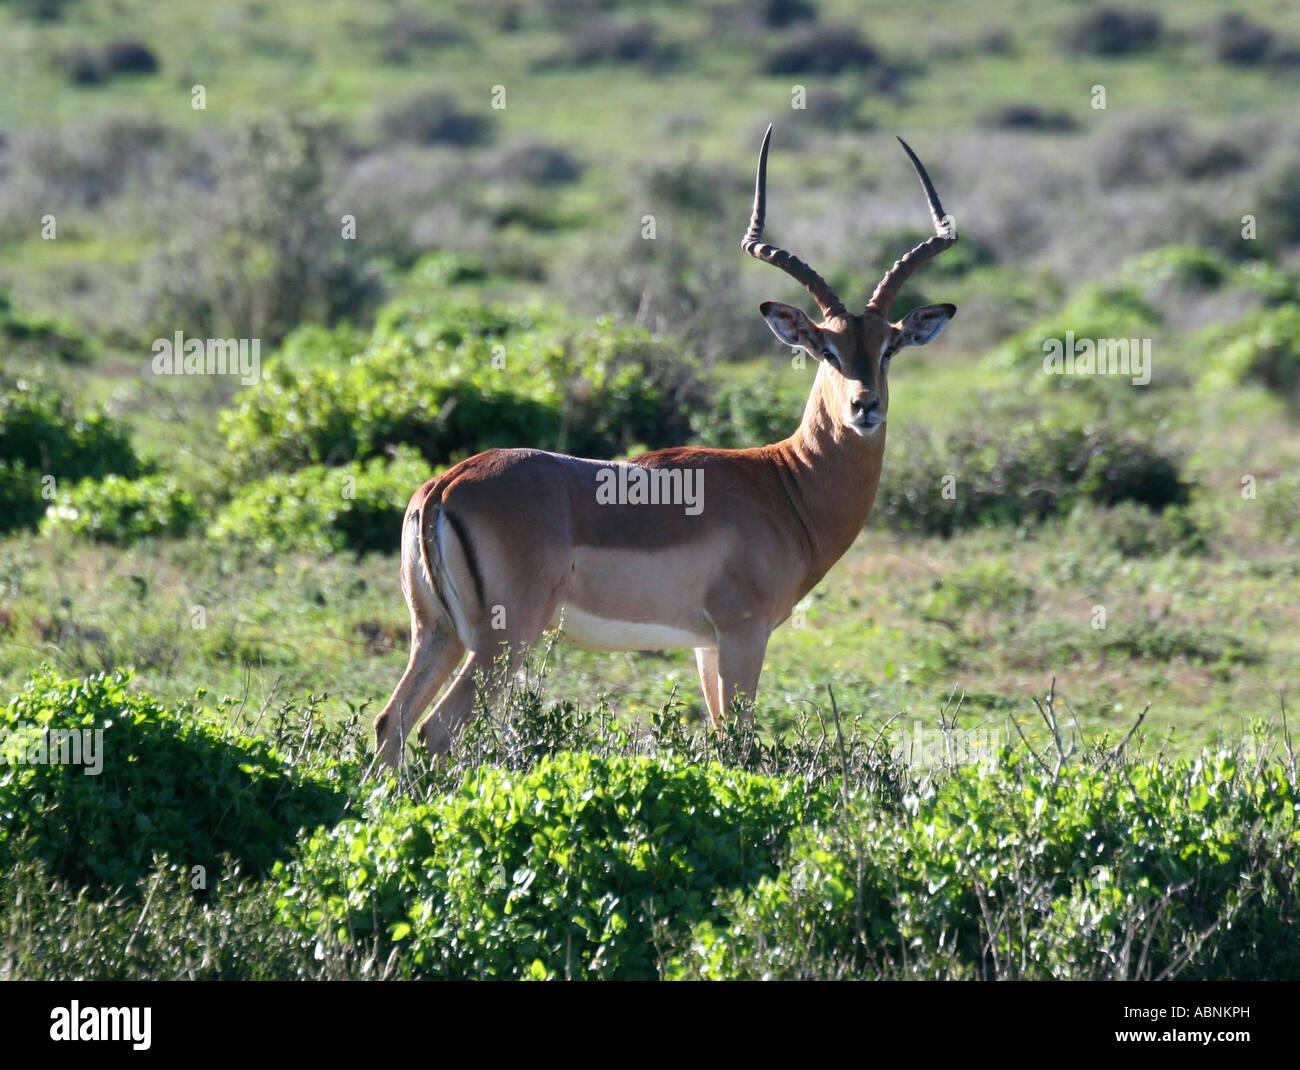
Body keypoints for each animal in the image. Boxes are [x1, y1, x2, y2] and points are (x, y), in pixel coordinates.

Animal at [374, 126, 957, 766]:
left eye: (888, 347)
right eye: (826, 350)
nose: (864, 407)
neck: (785, 484)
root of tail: (442, 486)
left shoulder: (706, 644)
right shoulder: (743, 633)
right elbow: (739, 743)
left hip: (438, 634)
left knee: (390, 722)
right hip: (504, 639)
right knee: (438, 729)